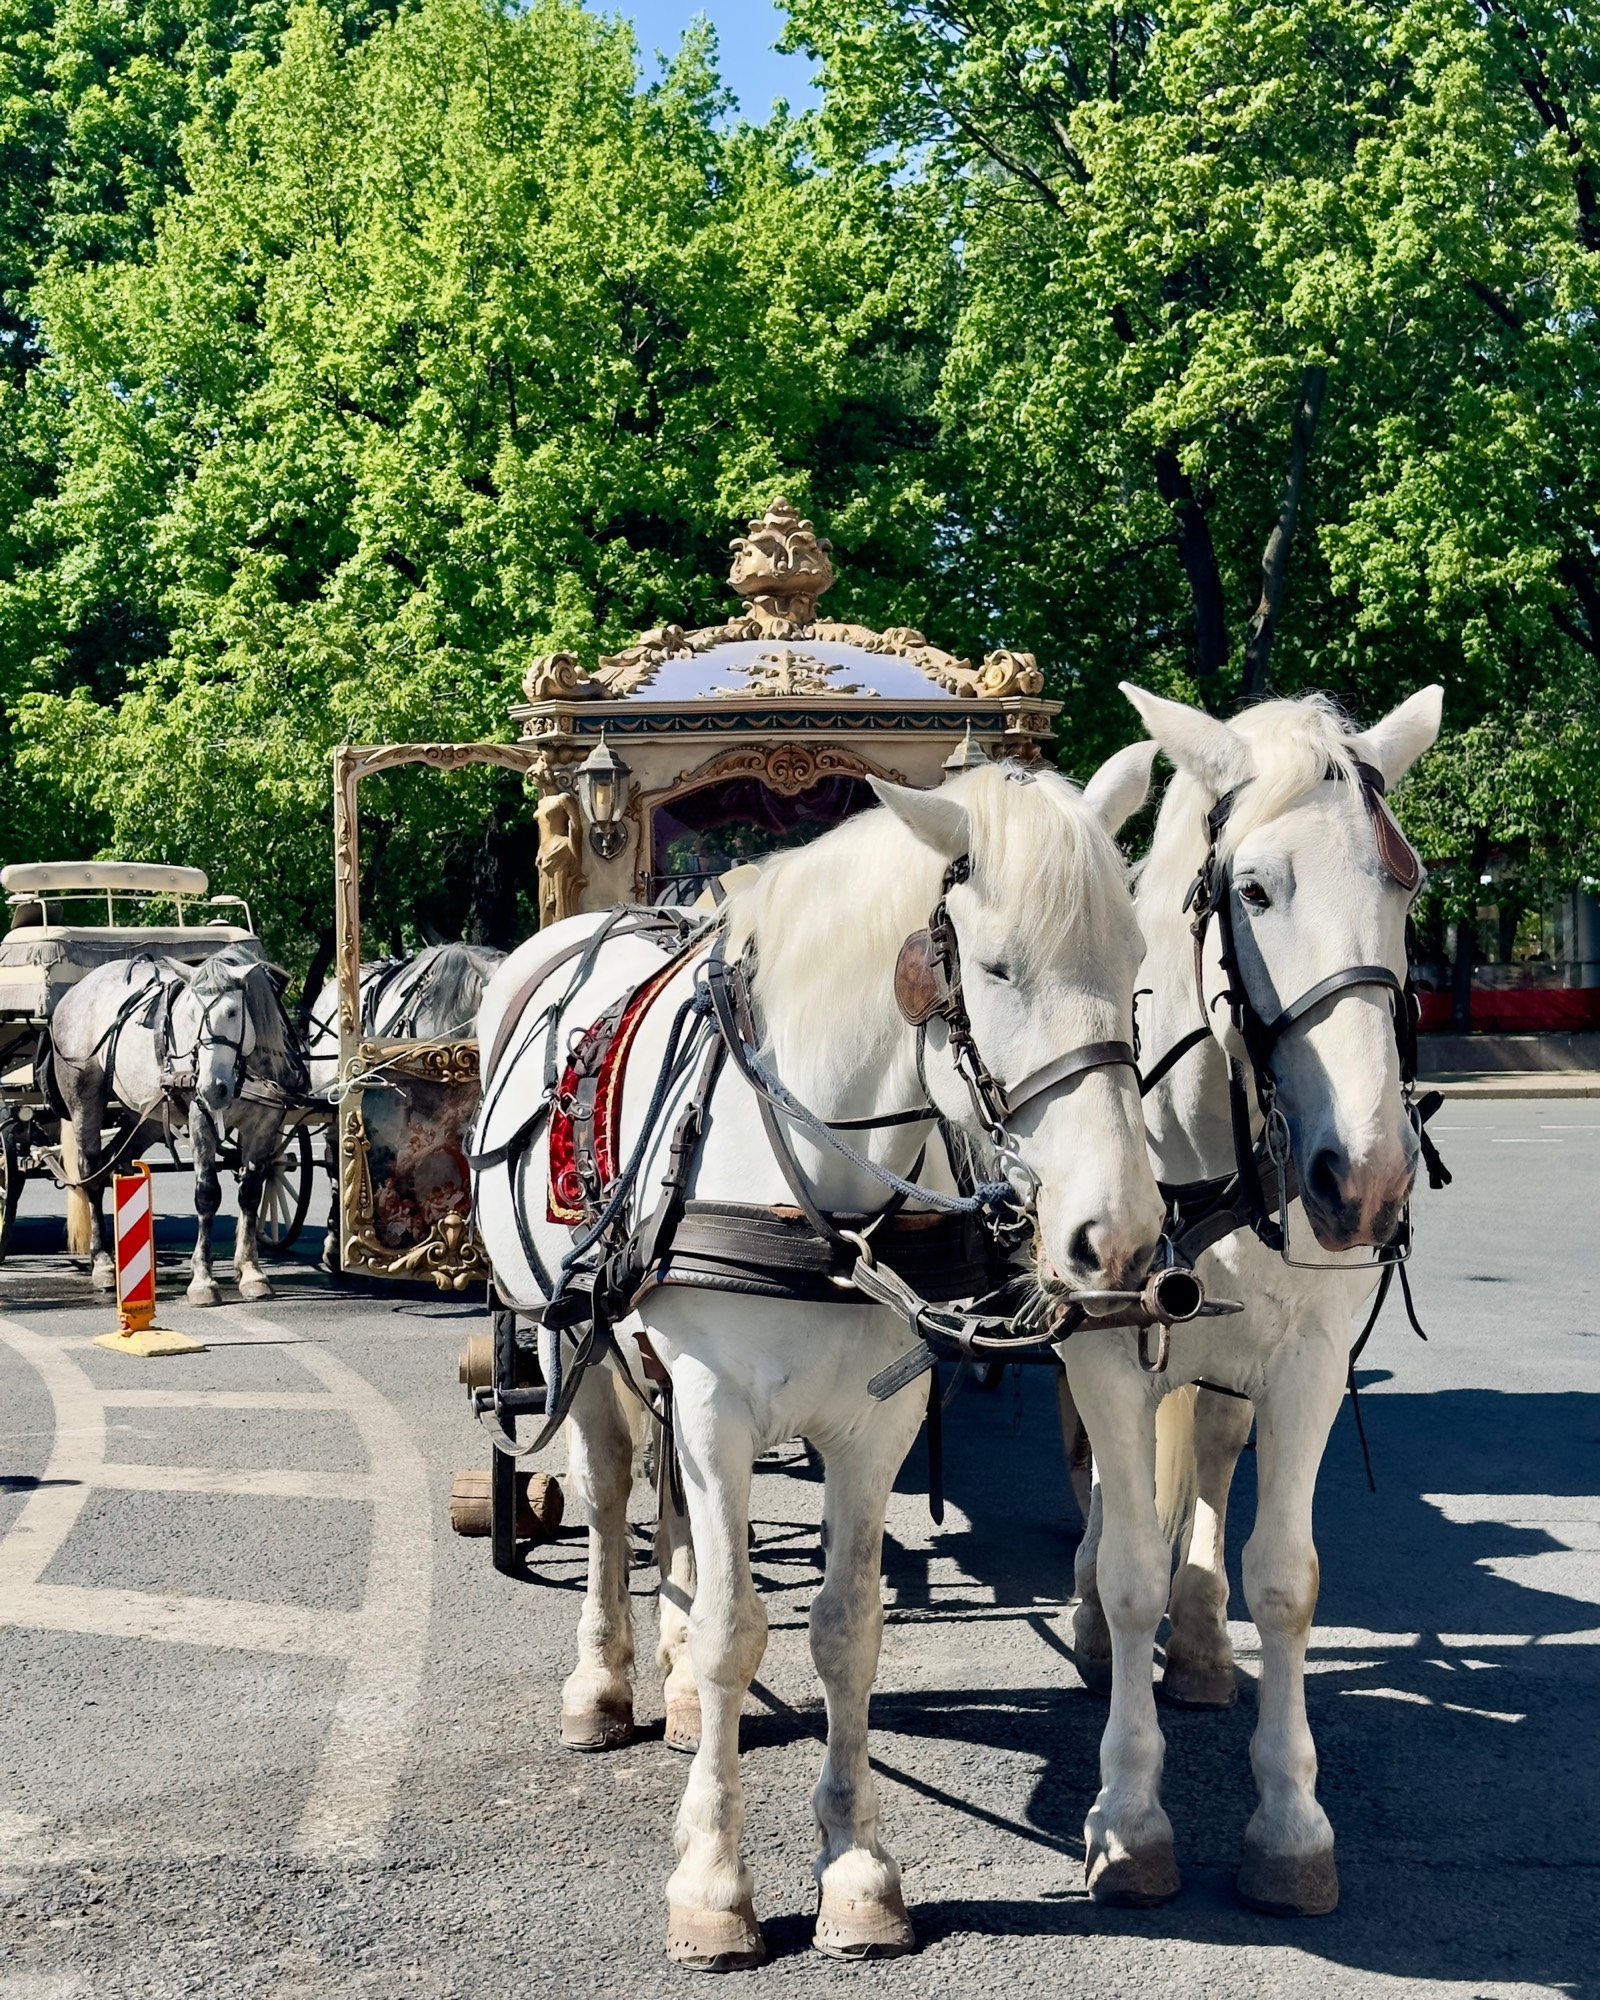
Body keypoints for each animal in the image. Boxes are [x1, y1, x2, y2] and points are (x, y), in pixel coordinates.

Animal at [476, 752, 1160, 1968]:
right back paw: (604, 1682)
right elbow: (736, 1631)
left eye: (1135, 962)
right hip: (571, 1333)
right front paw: (711, 1881)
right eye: (997, 967)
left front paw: (854, 1868)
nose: (1116, 1237)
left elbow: (845, 1631)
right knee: (605, 1497)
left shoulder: (872, 1424)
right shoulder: (715, 1409)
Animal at [1056, 684, 1440, 1920]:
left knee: (1214, 1453)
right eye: (1257, 889)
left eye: (1404, 883)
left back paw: (1201, 1643)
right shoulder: (1105, 1344)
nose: (1366, 1178)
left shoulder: (1313, 1354)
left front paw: (1290, 1820)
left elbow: (1286, 1579)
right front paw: (1129, 1814)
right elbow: (1128, 1564)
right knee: (1106, 1485)